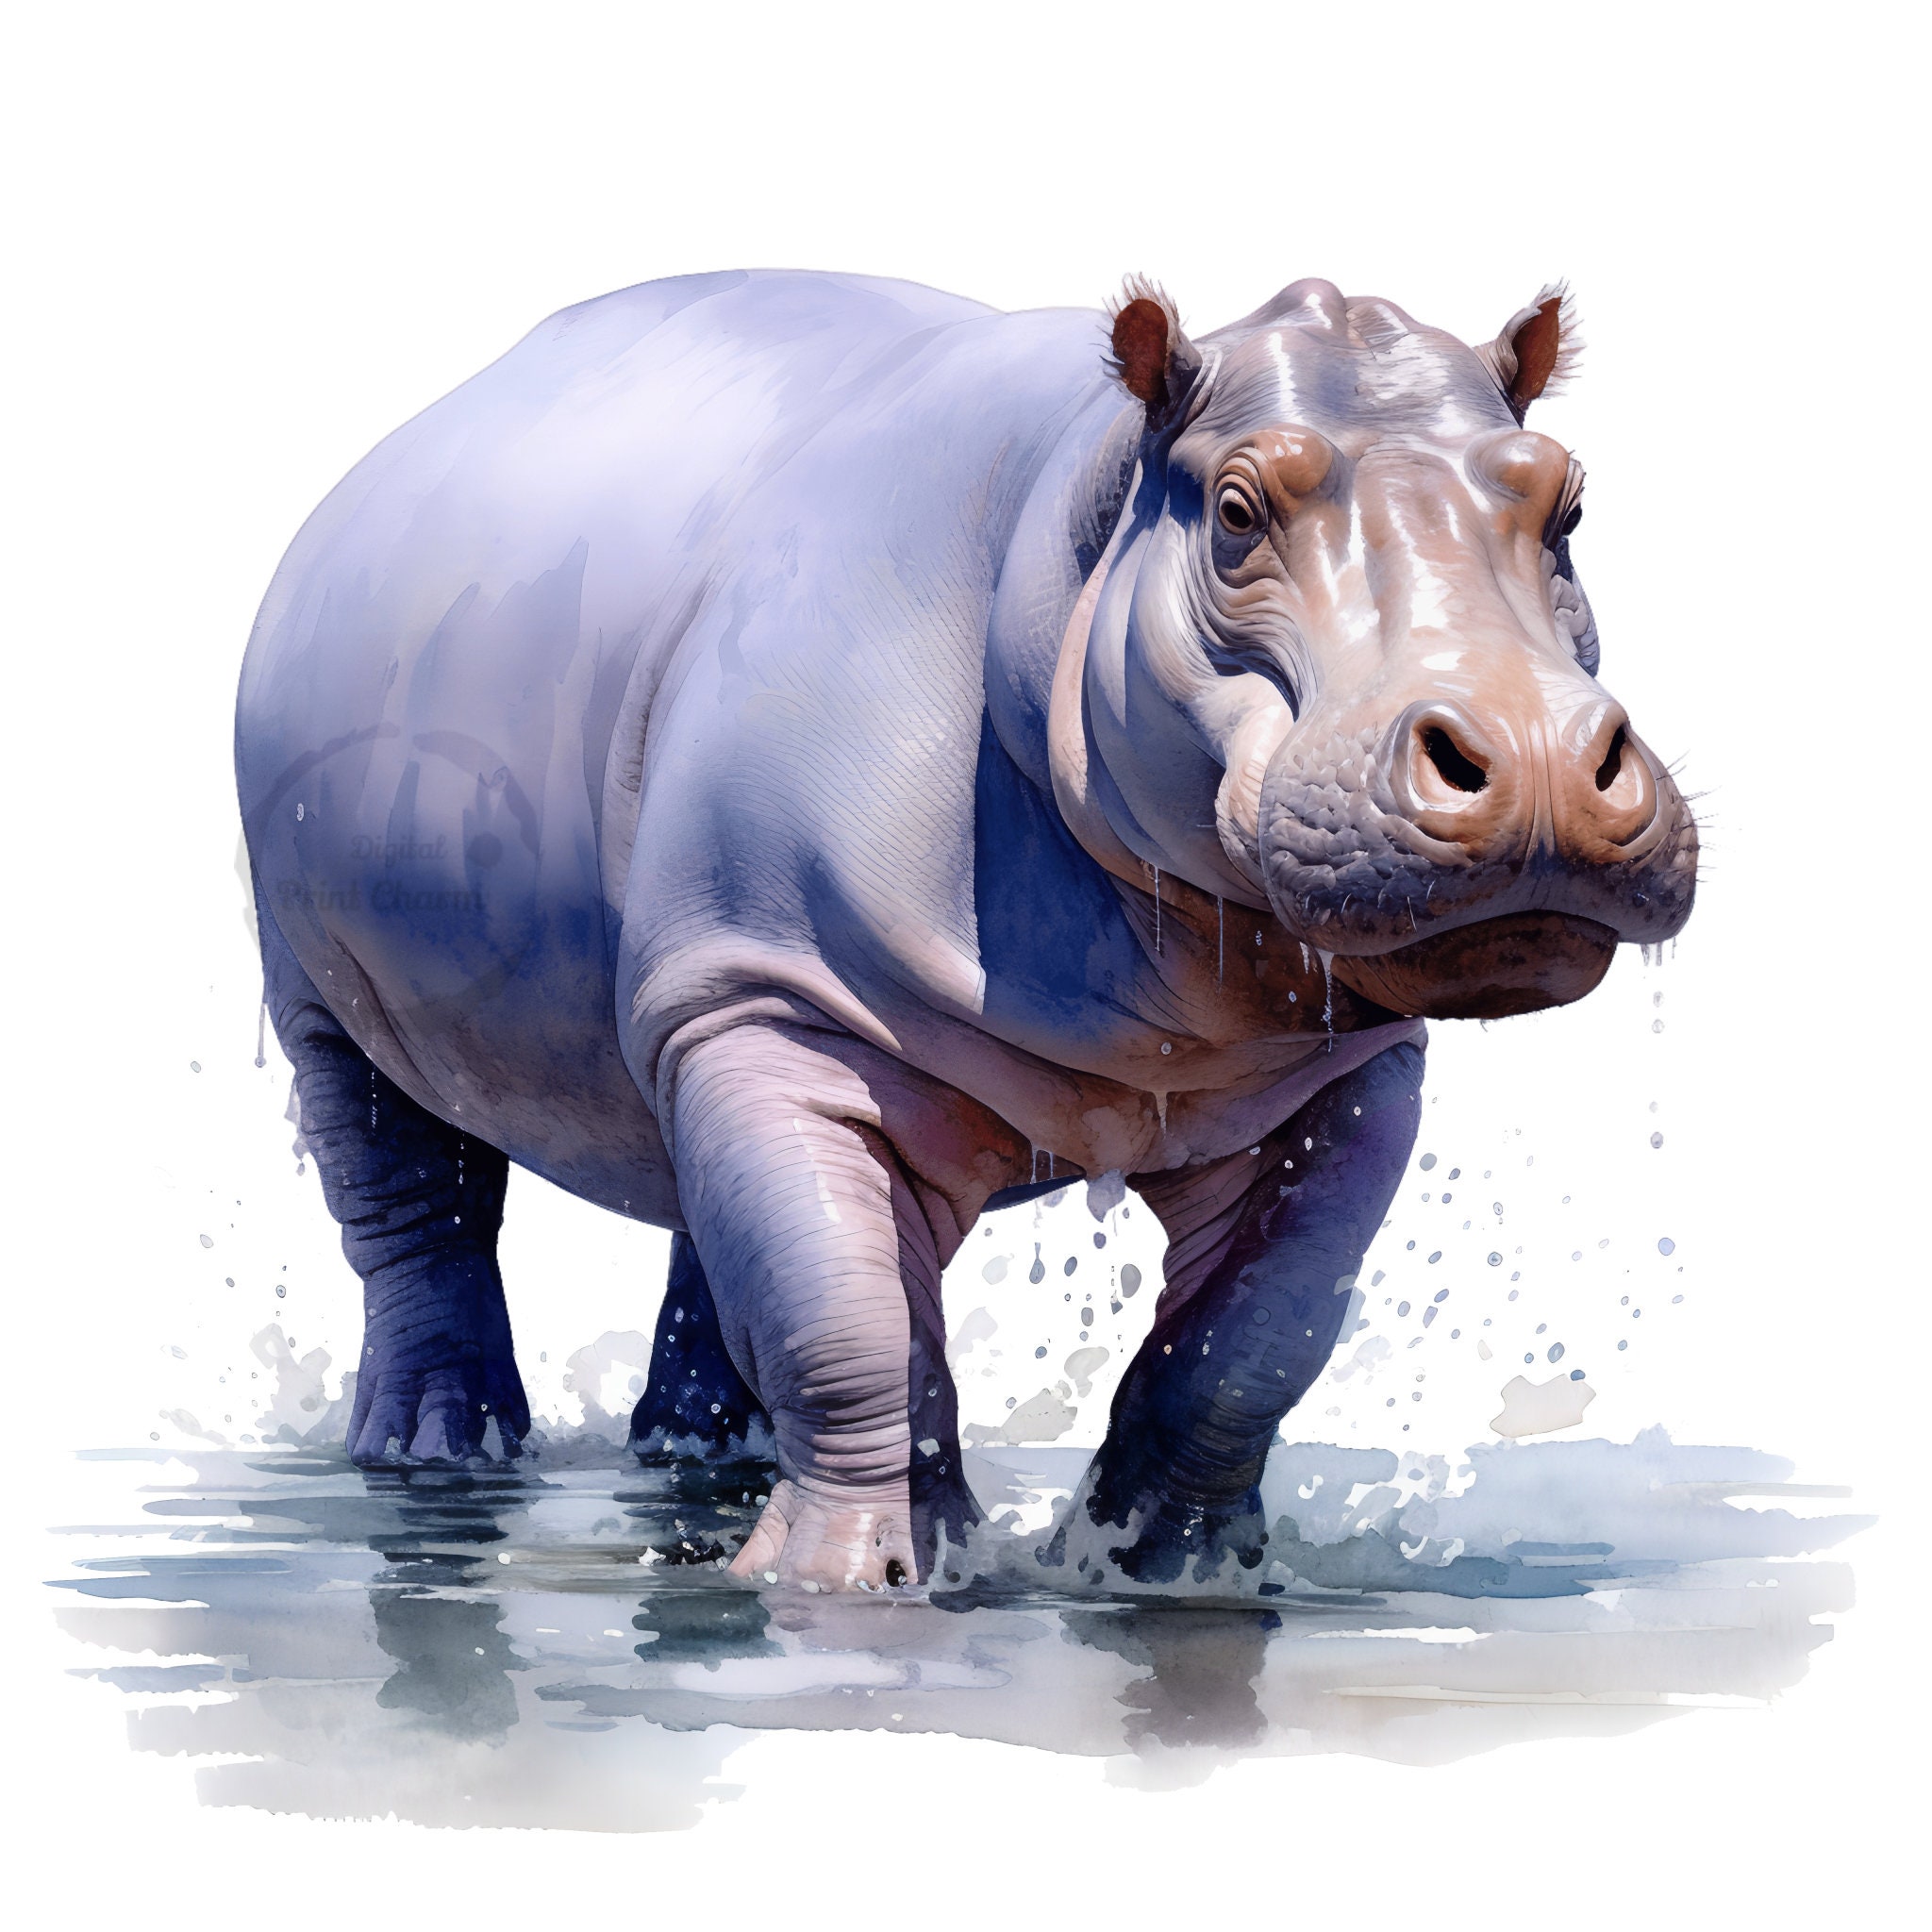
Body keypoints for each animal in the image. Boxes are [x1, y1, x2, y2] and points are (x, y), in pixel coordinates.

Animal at [236, 268, 1696, 1590]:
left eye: (1566, 498)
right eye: (1234, 511)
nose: (1538, 761)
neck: (1088, 503)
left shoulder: (1339, 1082)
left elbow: (1247, 1345)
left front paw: (1164, 1573)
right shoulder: (786, 1004)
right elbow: (849, 1324)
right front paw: (847, 1585)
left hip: (693, 977)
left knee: (696, 1199)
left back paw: (699, 1455)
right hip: (334, 974)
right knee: (408, 1188)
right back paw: (436, 1457)